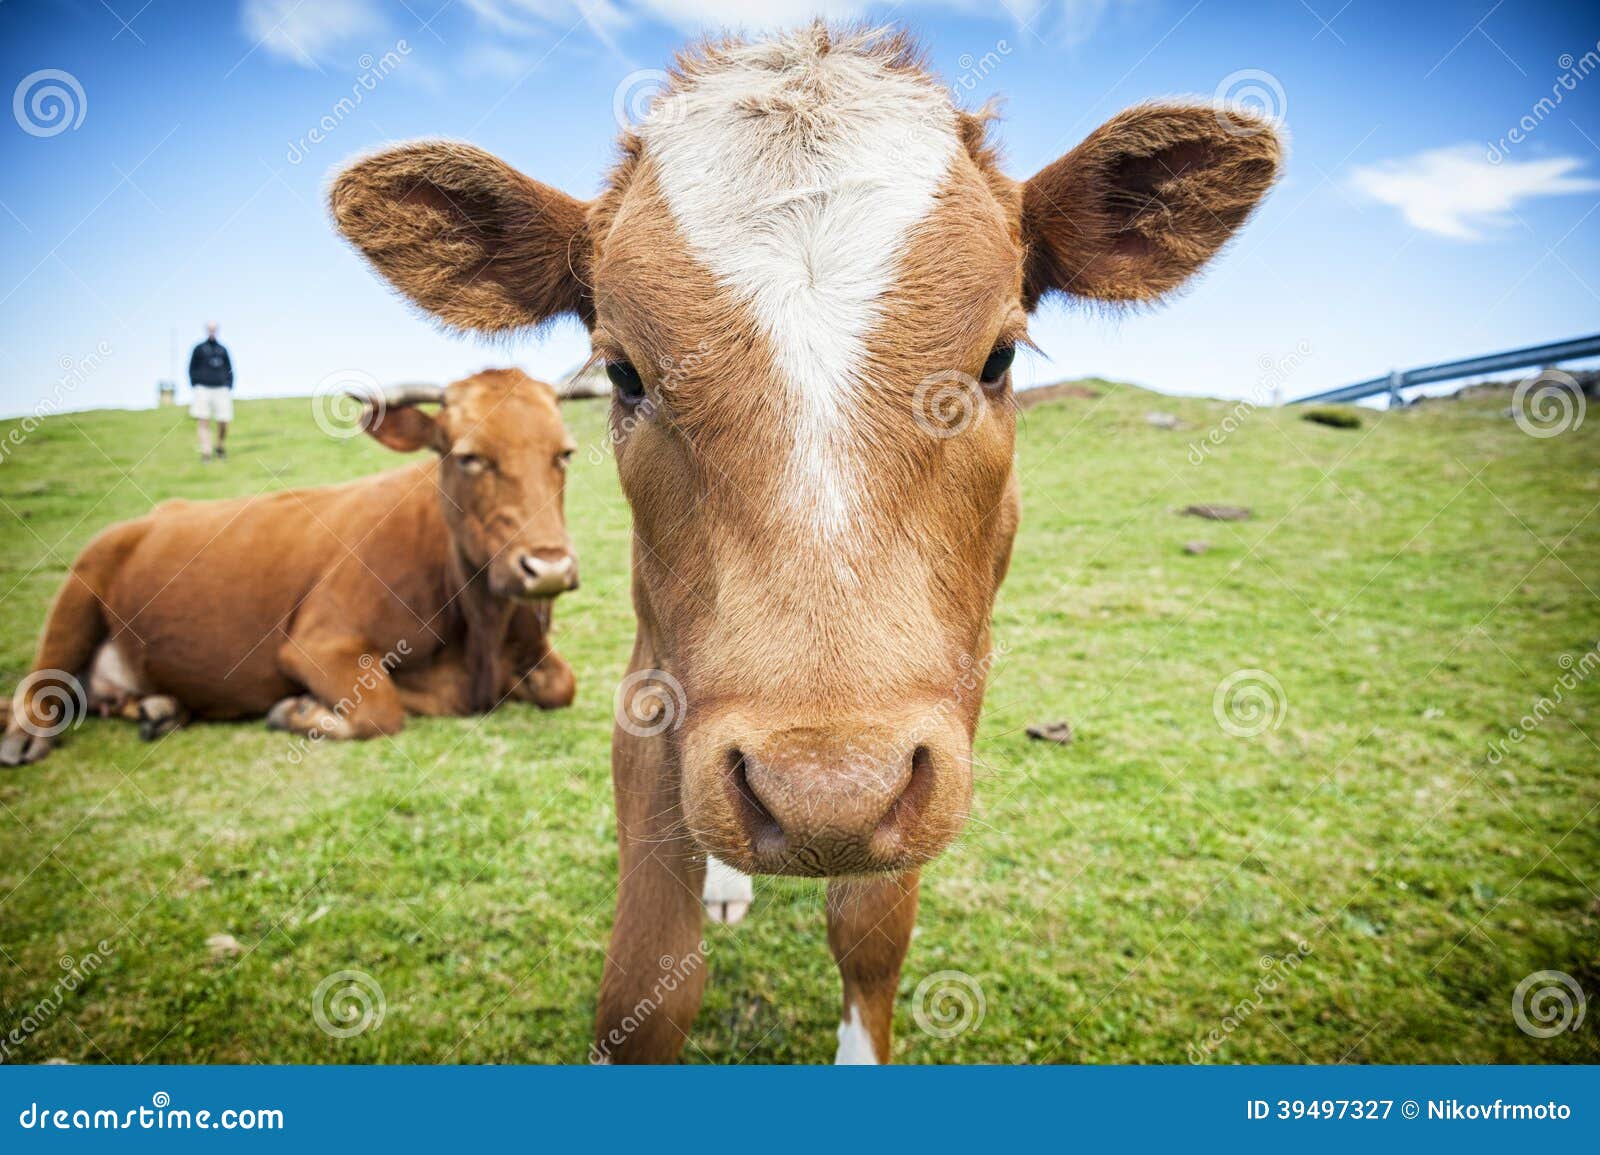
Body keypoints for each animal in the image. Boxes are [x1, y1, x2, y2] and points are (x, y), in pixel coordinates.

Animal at [1, 369, 579, 765]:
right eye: (469, 456)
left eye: (565, 453)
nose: (549, 567)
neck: (480, 628)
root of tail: (150, 516)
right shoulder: (319, 643)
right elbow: (382, 711)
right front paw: (296, 711)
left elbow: (563, 685)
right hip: (78, 591)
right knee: (38, 686)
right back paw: (24, 738)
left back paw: (161, 710)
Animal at [328, 24, 1281, 1062]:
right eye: (624, 373)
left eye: (998, 358)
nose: (824, 790)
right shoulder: (650, 688)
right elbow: (646, 977)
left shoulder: (935, 725)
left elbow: (871, 930)